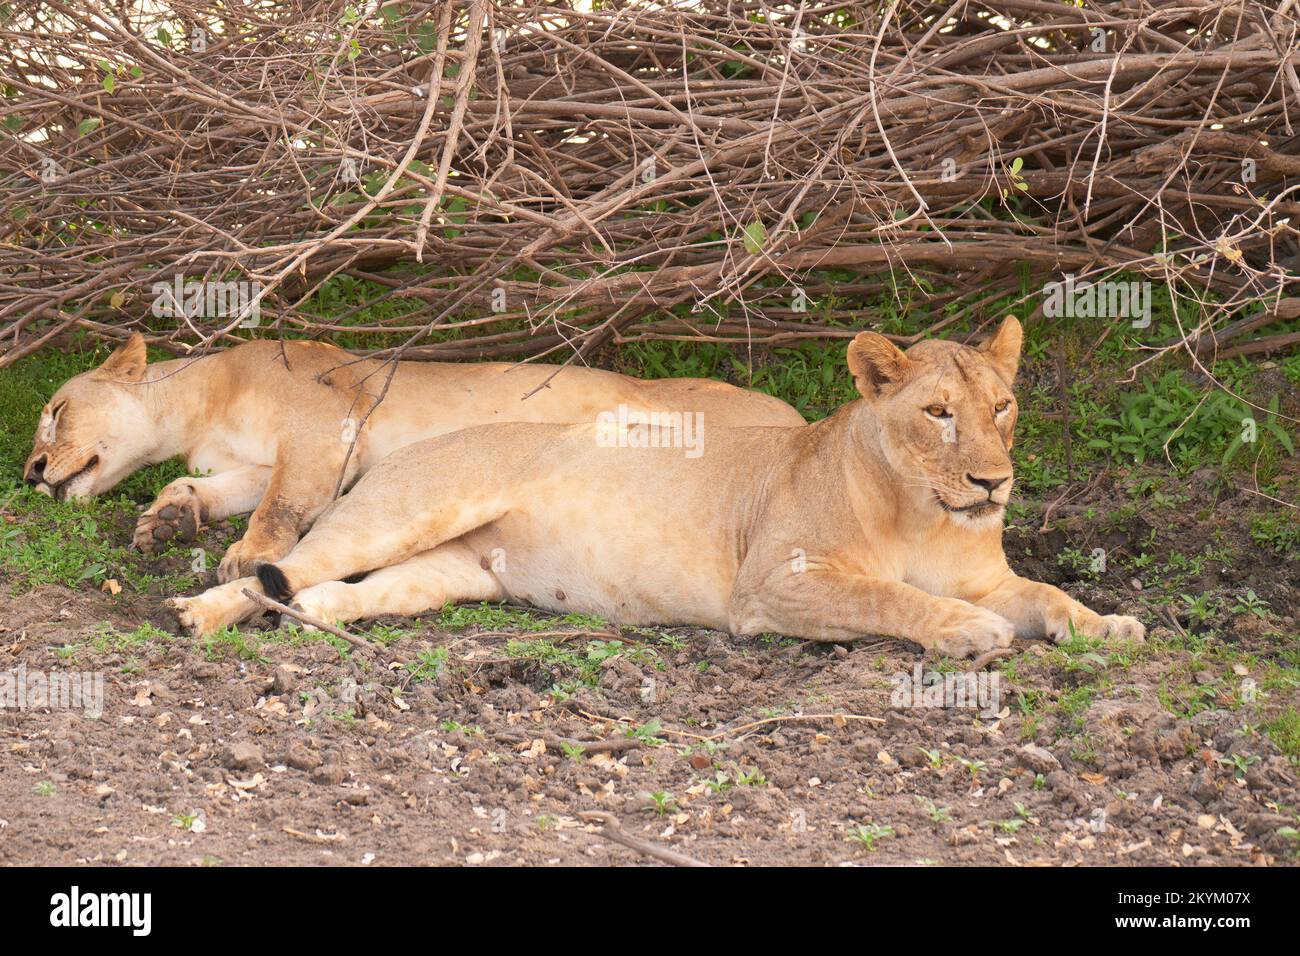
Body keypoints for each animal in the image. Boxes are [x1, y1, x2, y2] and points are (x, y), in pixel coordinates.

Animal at [23, 335, 804, 581]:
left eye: (54, 412)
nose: (30, 473)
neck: (196, 407)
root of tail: (801, 417)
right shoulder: (260, 461)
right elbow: (210, 486)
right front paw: (166, 520)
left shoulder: (324, 427)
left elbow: (280, 505)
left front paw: (248, 556)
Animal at [168, 317, 1145, 657]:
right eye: (939, 413)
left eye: (1002, 405)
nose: (994, 480)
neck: (926, 514)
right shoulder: (774, 584)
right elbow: (892, 598)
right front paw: (966, 631)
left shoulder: (990, 573)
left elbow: (1047, 593)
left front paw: (1108, 625)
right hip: (404, 512)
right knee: (284, 565)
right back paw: (196, 616)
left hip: (445, 574)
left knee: (328, 592)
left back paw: (318, 617)